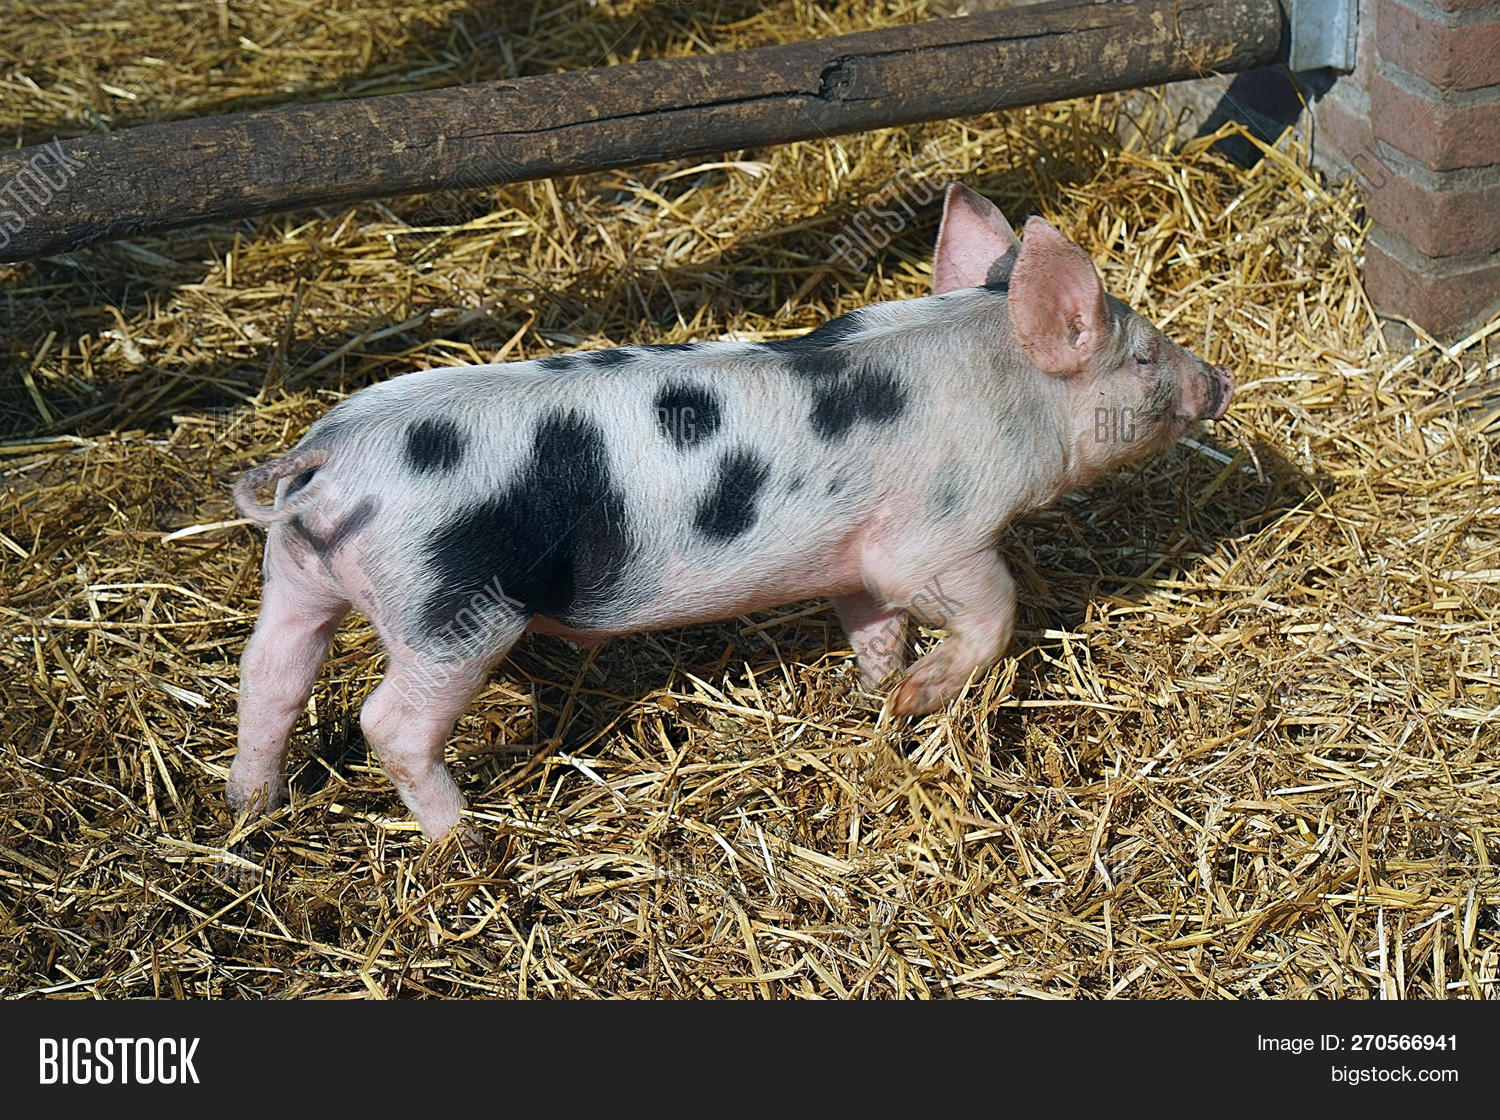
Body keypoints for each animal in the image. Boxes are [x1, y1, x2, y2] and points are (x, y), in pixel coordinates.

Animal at [227, 183, 1233, 844]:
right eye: (1144, 356)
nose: (1219, 380)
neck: (1003, 381)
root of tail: (328, 455)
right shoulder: (935, 536)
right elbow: (994, 608)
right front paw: (918, 696)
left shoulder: (853, 556)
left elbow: (873, 622)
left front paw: (878, 695)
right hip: (451, 612)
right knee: (385, 722)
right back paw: (467, 840)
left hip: (300, 576)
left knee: (269, 673)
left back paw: (250, 806)